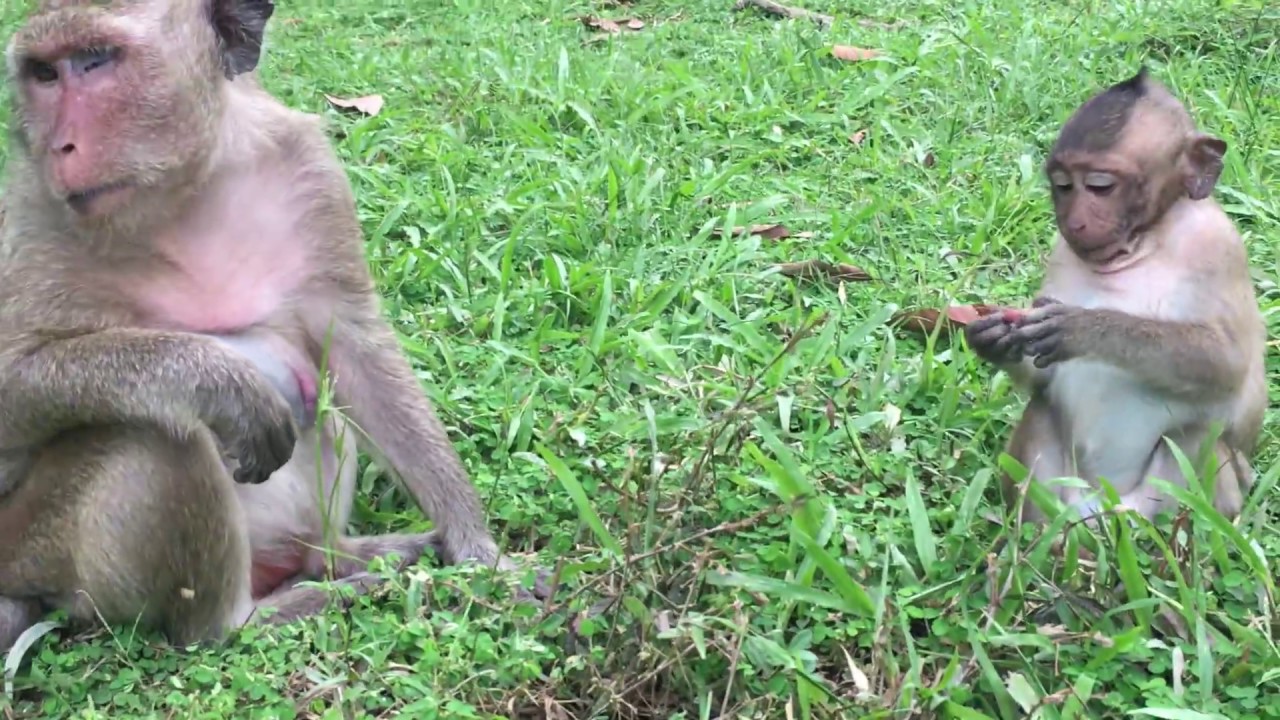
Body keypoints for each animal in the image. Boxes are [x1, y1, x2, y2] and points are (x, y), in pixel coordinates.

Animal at [0, 0, 546, 652]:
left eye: (94, 61)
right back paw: (254, 617)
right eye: (44, 74)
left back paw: (344, 557)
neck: (184, 196)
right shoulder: (31, 212)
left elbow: (357, 351)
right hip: (44, 544)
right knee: (159, 433)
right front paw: (220, 382)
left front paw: (479, 553)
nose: (61, 147)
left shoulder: (308, 171)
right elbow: (12, 390)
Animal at [965, 67, 1266, 525]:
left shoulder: (1219, 248)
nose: (1073, 220)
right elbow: (1042, 376)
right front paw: (994, 340)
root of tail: (1102, 505)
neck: (1143, 243)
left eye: (1100, 186)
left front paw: (1087, 328)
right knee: (1041, 408)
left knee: (1197, 434)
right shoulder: (1062, 252)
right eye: (1062, 185)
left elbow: (1227, 363)